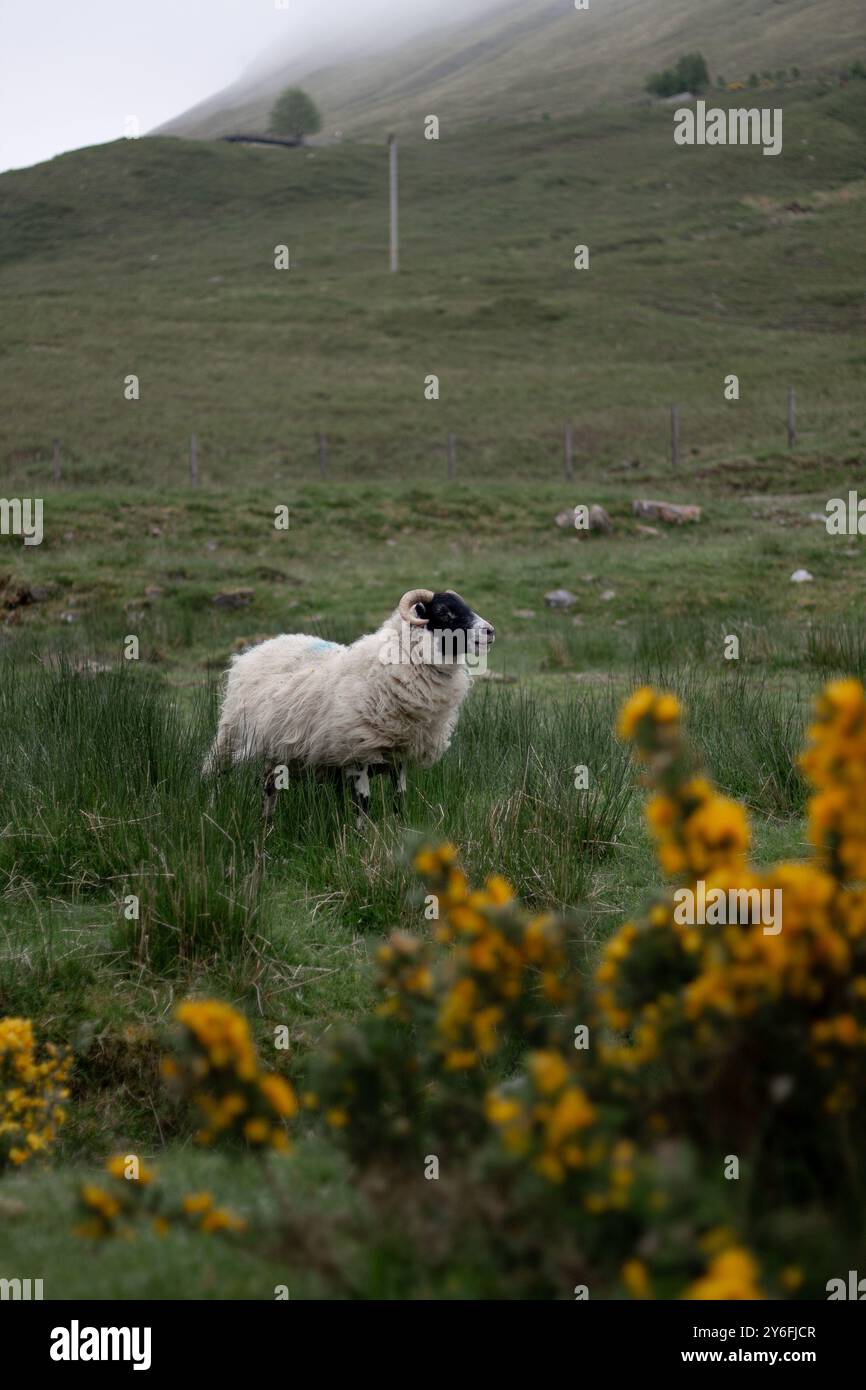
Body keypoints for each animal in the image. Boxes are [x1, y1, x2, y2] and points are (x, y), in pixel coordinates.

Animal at [203, 589, 496, 823]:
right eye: (445, 612)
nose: (490, 631)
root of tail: (258, 648)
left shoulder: (400, 755)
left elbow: (399, 800)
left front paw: (400, 831)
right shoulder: (358, 752)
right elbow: (363, 806)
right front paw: (362, 841)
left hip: (275, 747)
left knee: (269, 788)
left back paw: (267, 825)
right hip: (231, 734)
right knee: (224, 776)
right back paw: (218, 812)